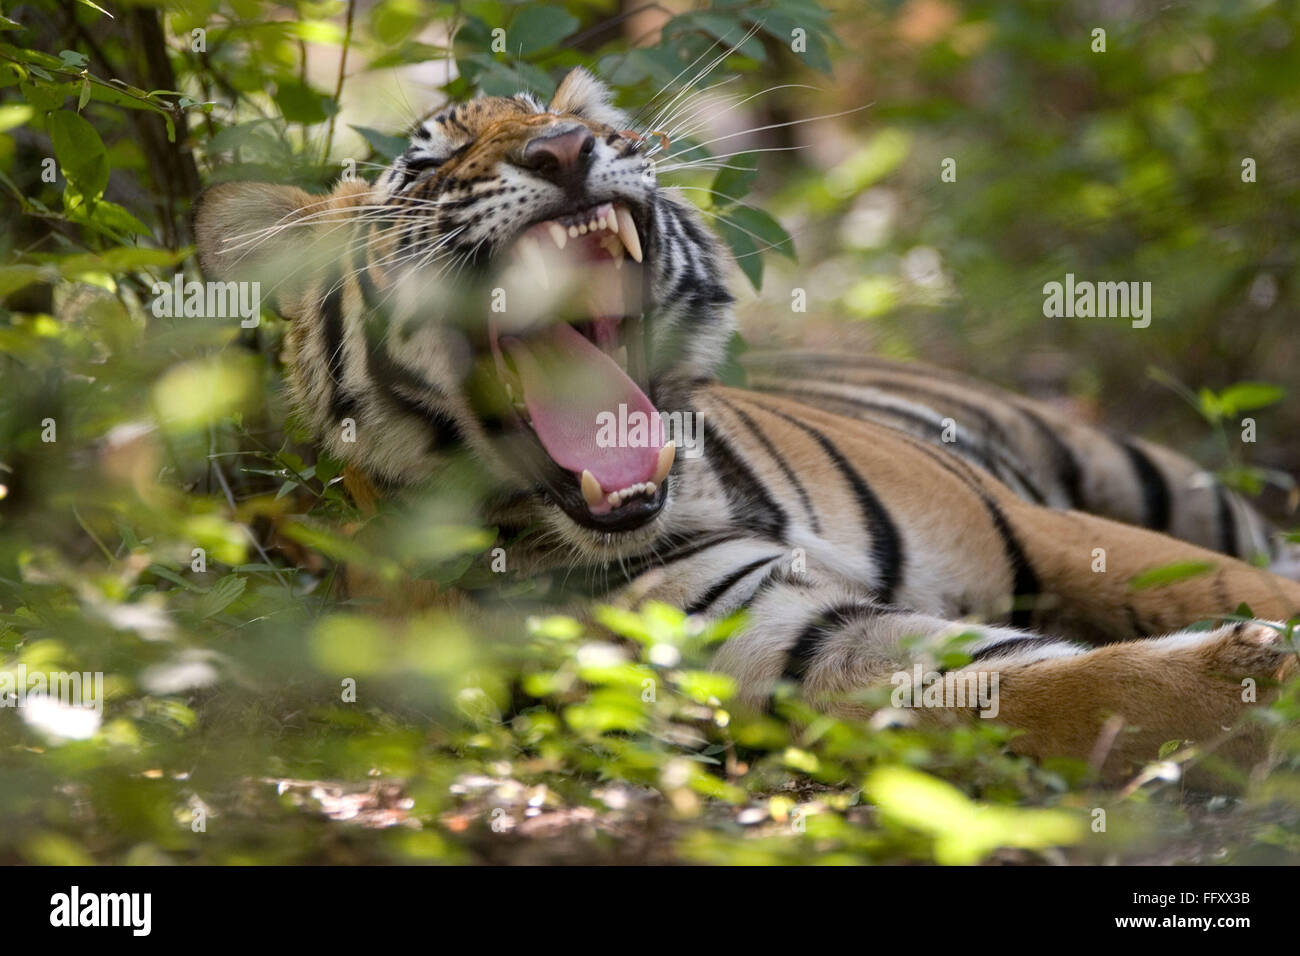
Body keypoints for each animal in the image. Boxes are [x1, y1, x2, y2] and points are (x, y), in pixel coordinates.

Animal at [195, 68, 1300, 784]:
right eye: (425, 165)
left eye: (556, 119)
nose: (565, 149)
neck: (687, 490)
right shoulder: (791, 647)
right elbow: (1072, 689)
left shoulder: (1051, 531)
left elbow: (1211, 588)